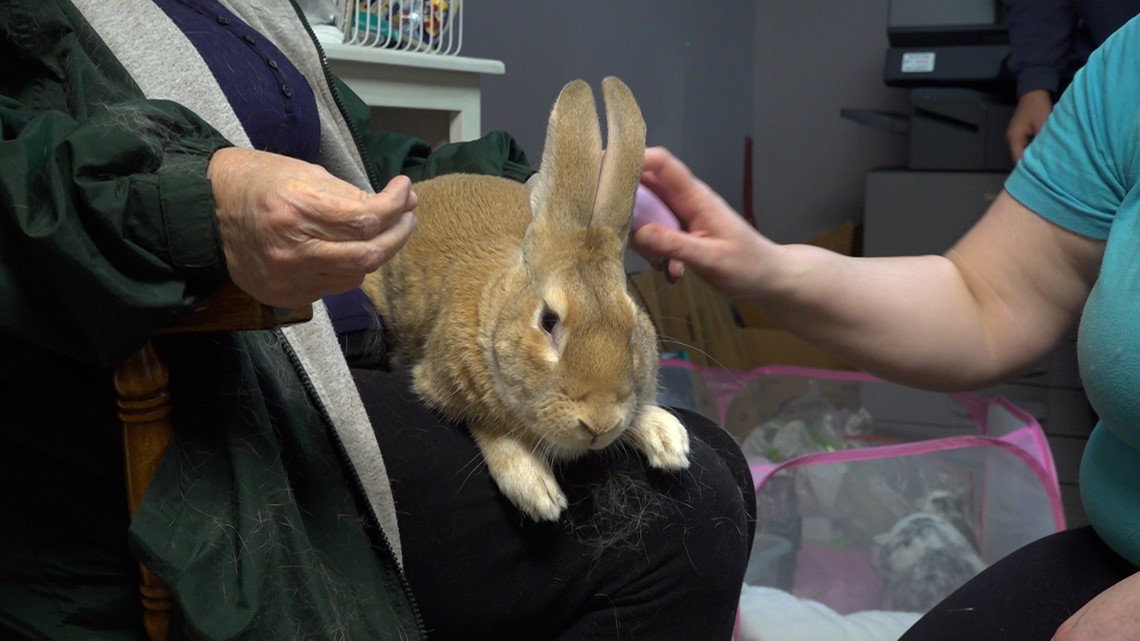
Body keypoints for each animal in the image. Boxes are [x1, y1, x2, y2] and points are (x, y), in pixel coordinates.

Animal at [360, 77, 691, 522]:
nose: (599, 423)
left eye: (633, 327)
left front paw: (667, 439)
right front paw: (537, 492)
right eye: (548, 322)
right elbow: (489, 428)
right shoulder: (440, 382)